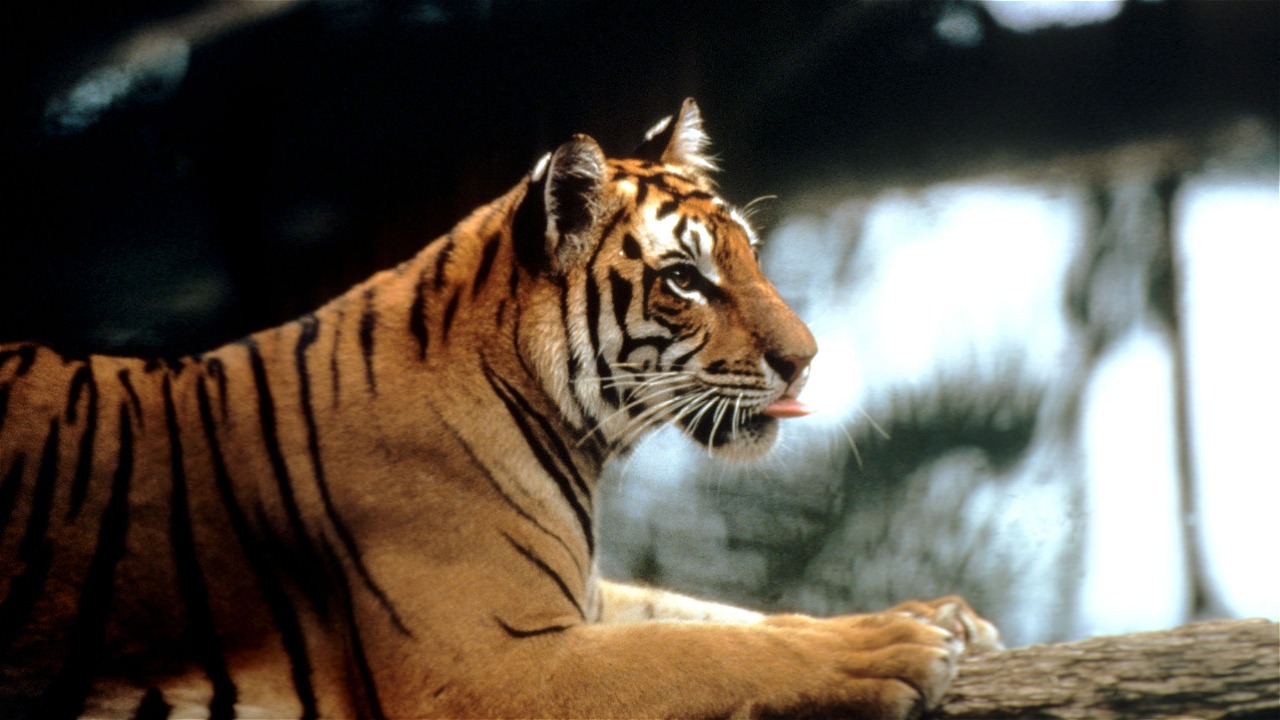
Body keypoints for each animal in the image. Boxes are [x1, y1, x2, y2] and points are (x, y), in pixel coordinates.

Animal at [0, 98, 999, 719]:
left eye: (750, 256)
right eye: (685, 278)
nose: (806, 360)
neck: (579, 439)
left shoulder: (576, 599)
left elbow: (719, 616)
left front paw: (937, 619)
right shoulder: (492, 666)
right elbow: (707, 653)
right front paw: (891, 654)